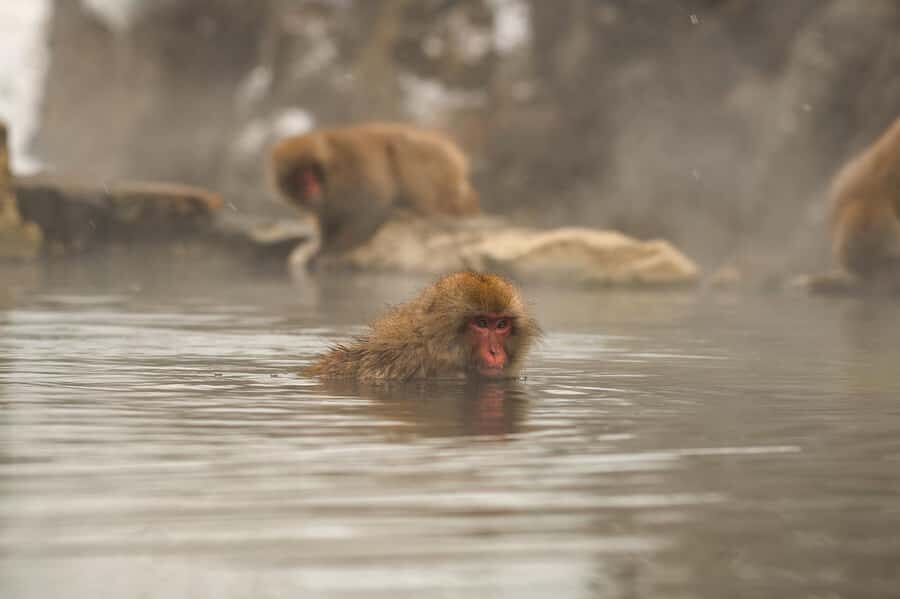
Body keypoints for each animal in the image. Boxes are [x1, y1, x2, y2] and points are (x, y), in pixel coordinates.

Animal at [270, 122, 480, 254]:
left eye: (309, 173)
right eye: (298, 177)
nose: (308, 187)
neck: (331, 175)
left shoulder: (356, 170)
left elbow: (372, 206)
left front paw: (331, 250)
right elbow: (327, 219)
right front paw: (322, 243)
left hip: (440, 169)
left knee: (401, 148)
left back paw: (417, 211)